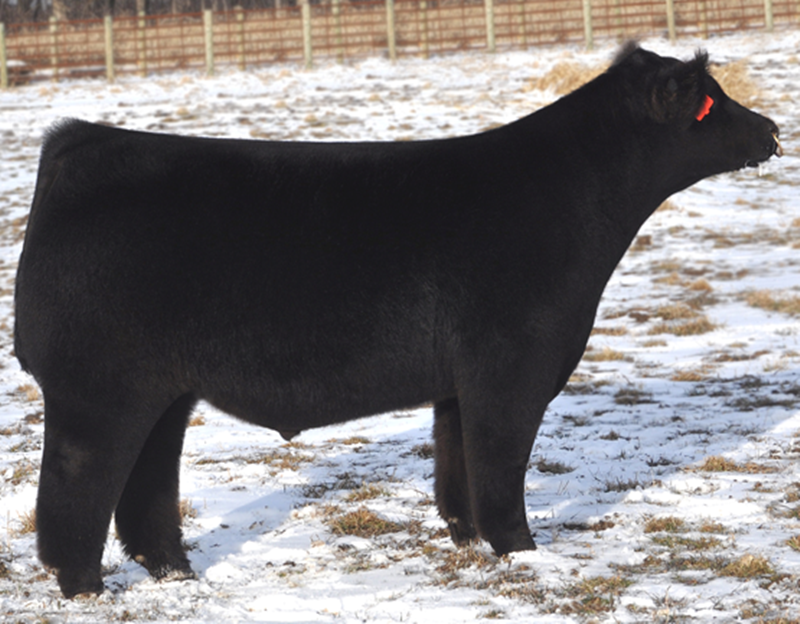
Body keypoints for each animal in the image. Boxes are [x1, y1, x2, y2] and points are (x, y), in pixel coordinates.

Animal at [14, 43, 781, 598]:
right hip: (98, 392)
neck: (572, 201)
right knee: (75, 493)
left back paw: (176, 574)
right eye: (708, 104)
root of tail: (82, 143)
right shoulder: (512, 370)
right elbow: (500, 466)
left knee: (144, 488)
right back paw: (85, 589)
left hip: (163, 391)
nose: (772, 128)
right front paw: (524, 552)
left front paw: (470, 540)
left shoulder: (458, 384)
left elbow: (457, 465)